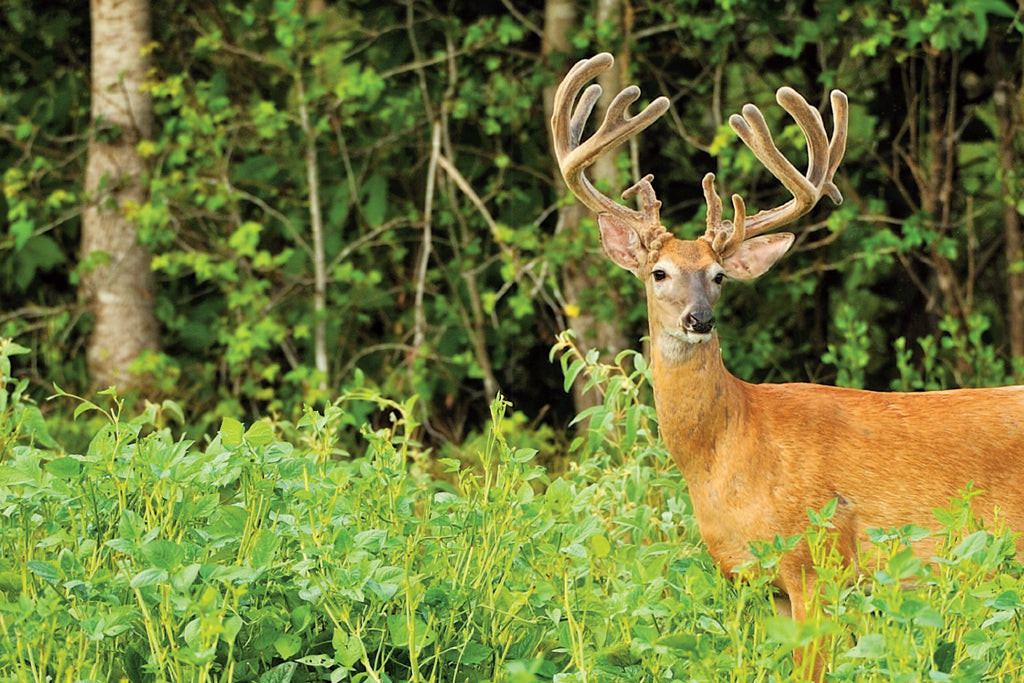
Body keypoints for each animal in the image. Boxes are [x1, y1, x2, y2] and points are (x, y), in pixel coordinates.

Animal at [551, 52, 1024, 675]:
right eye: (659, 273)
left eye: (719, 276)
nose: (699, 319)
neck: (726, 452)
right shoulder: (764, 583)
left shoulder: (817, 559)